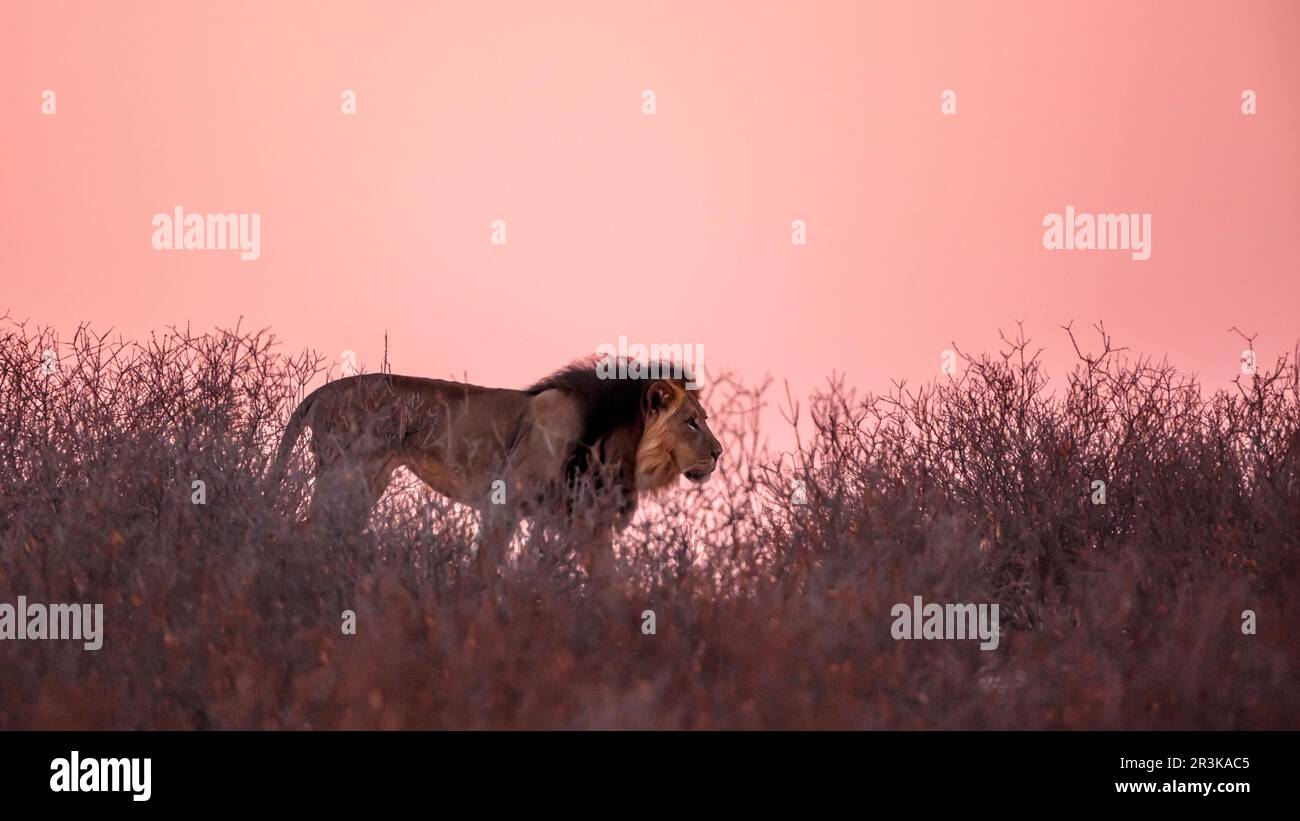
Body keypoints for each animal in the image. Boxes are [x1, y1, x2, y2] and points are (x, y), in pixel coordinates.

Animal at [267, 359, 722, 578]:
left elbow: (606, 580)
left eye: (703, 418)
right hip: (347, 475)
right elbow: (488, 562)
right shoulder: (507, 499)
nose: (718, 453)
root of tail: (326, 389)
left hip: (367, 482)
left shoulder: (584, 521)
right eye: (692, 422)